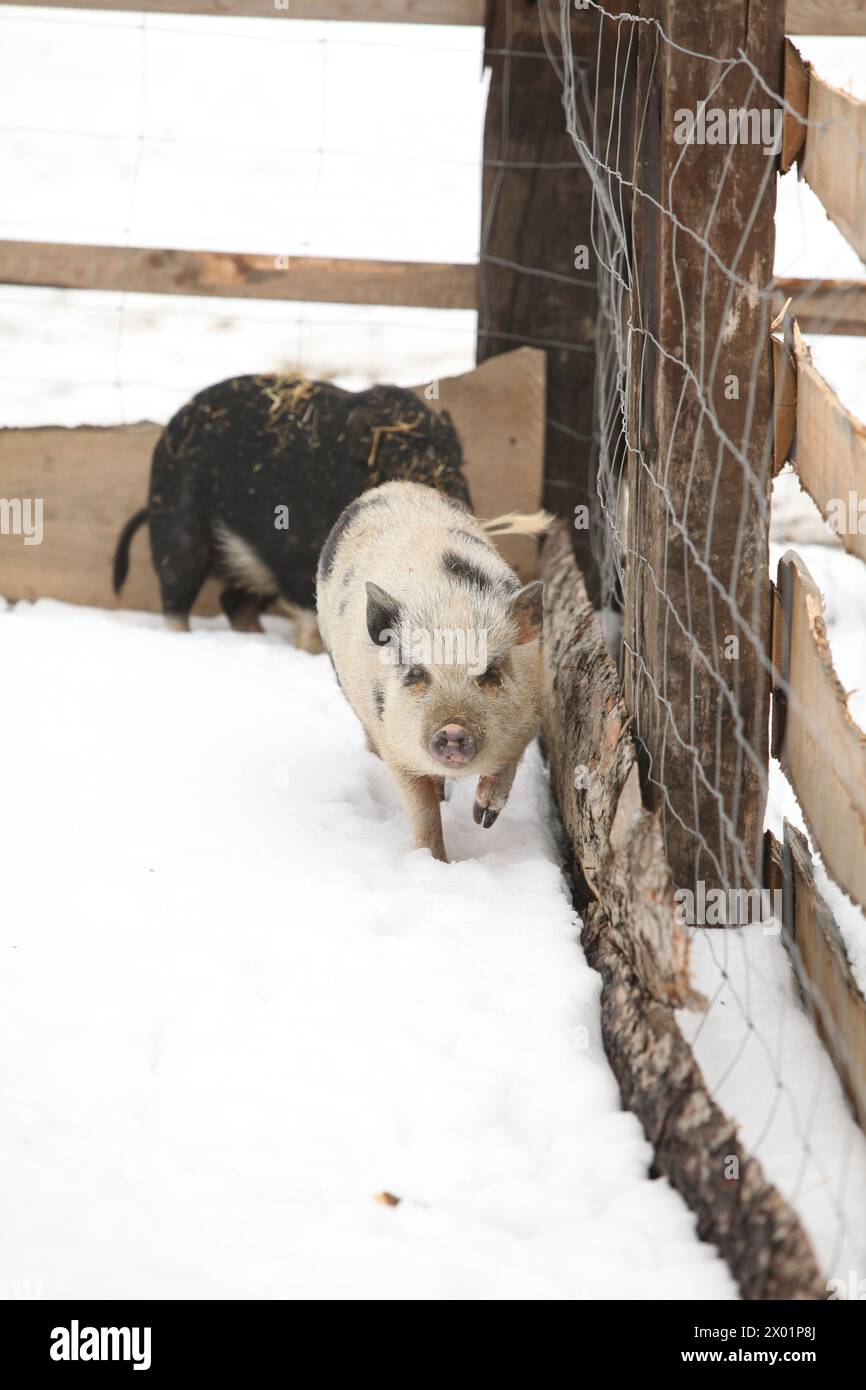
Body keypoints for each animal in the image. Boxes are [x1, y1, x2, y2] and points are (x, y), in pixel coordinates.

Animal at [112, 373, 470, 647]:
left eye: (456, 463)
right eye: (398, 466)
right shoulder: (294, 554)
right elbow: (312, 613)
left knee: (232, 601)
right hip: (178, 533)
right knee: (176, 598)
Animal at [316, 480, 548, 862]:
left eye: (491, 671)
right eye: (415, 673)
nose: (453, 728)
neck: (451, 606)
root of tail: (395, 485)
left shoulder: (532, 715)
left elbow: (507, 766)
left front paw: (483, 818)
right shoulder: (397, 750)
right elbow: (422, 813)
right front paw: (436, 862)